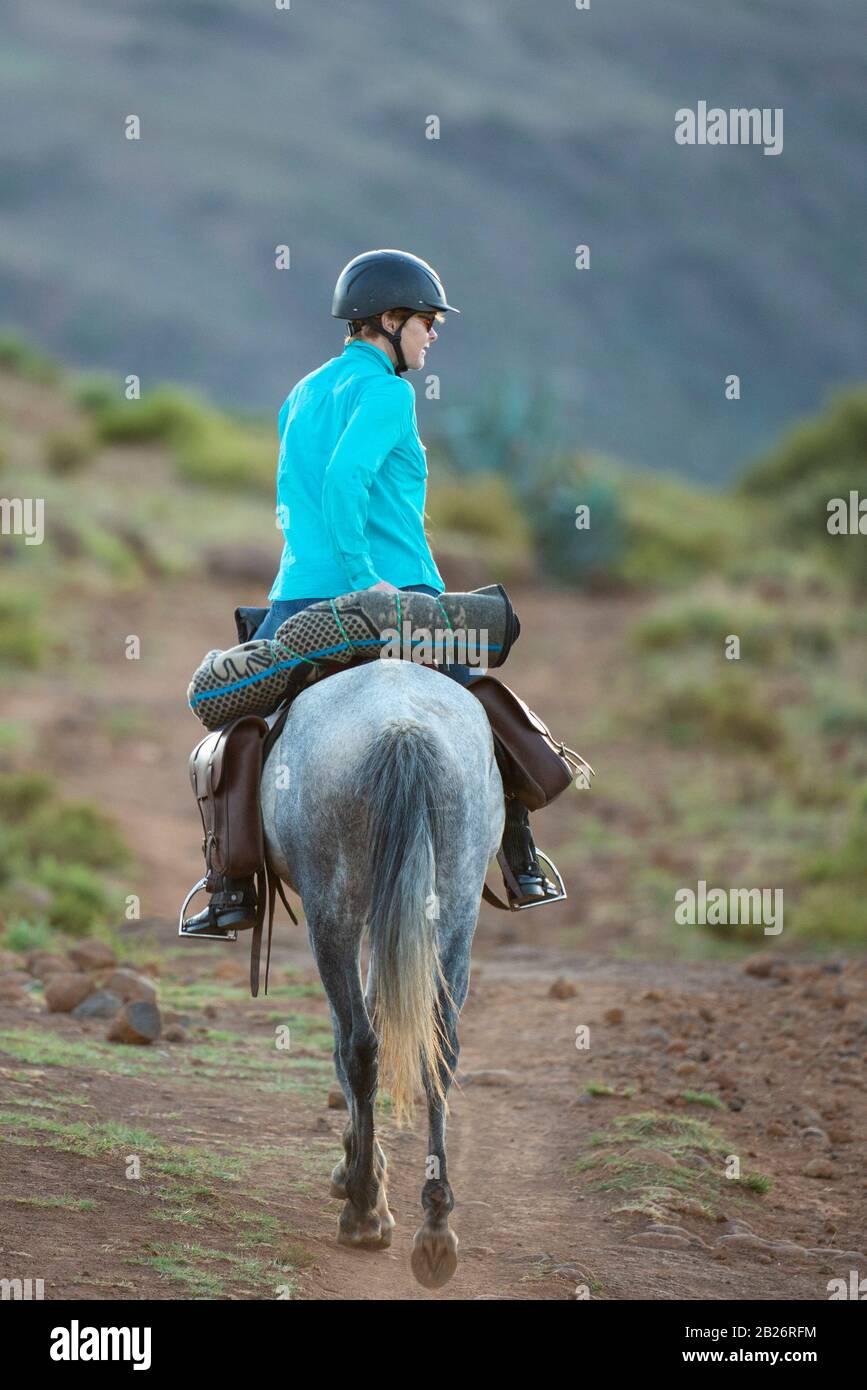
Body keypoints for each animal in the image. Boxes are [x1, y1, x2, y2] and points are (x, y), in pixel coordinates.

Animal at [260, 655, 505, 1289]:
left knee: (359, 1046)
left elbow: (348, 1038)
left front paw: (356, 1172)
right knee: (440, 1047)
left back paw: (364, 1211)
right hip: (455, 907)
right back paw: (435, 1228)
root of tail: (402, 731)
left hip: (333, 913)